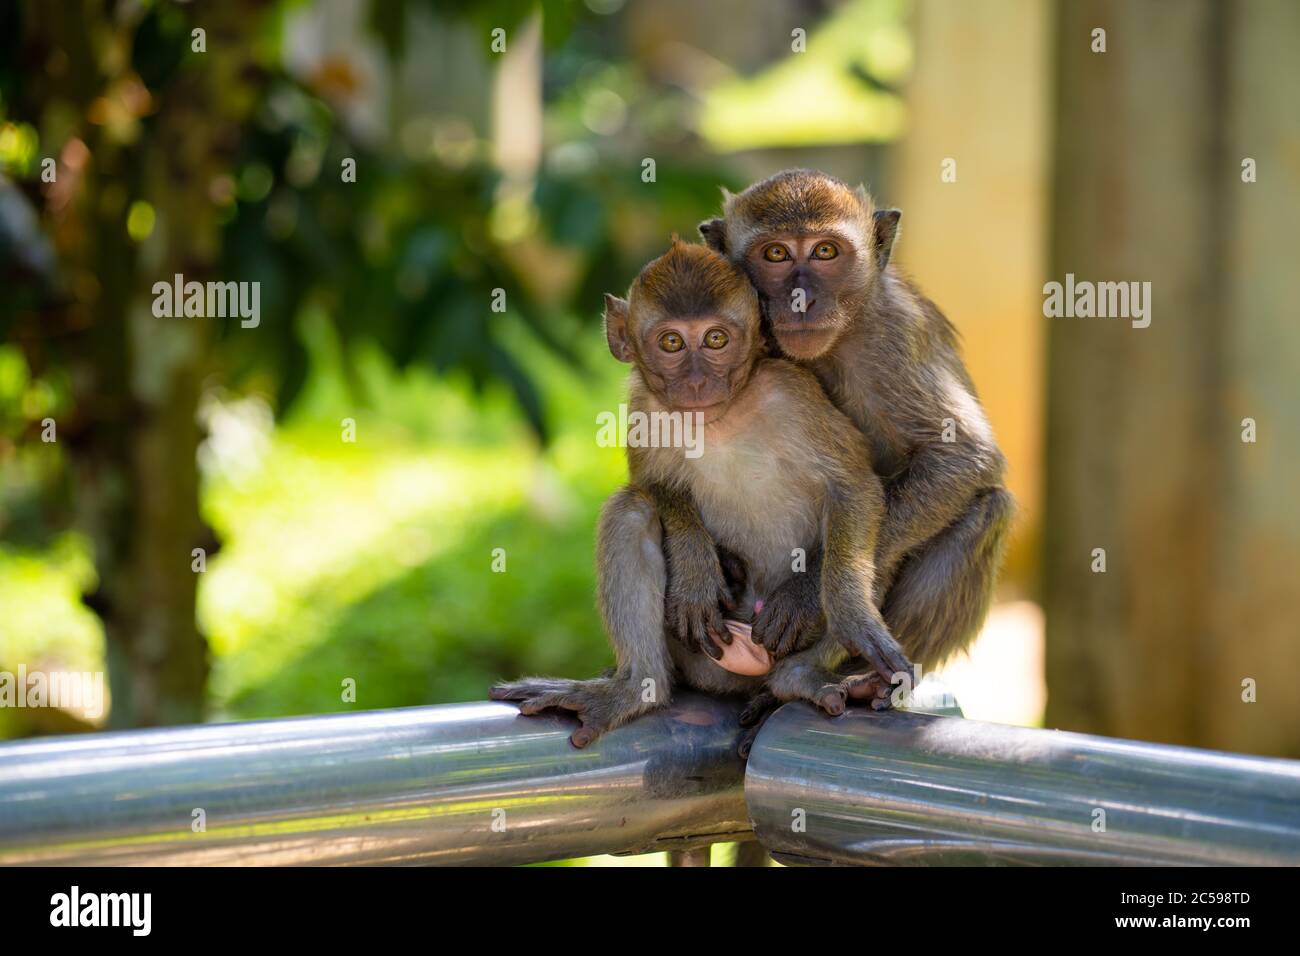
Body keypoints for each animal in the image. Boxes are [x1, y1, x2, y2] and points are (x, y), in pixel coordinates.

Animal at [491, 239, 913, 749]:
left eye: (715, 339)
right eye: (672, 342)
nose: (695, 380)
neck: (719, 418)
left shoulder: (792, 392)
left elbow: (853, 486)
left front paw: (850, 617)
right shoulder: (645, 404)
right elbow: (652, 483)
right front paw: (697, 569)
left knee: (879, 548)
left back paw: (798, 677)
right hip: (698, 656)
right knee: (631, 510)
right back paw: (638, 687)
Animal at [663, 168, 1014, 677]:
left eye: (825, 251)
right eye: (776, 254)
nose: (801, 299)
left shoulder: (896, 333)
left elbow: (961, 455)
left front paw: (807, 596)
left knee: (989, 508)